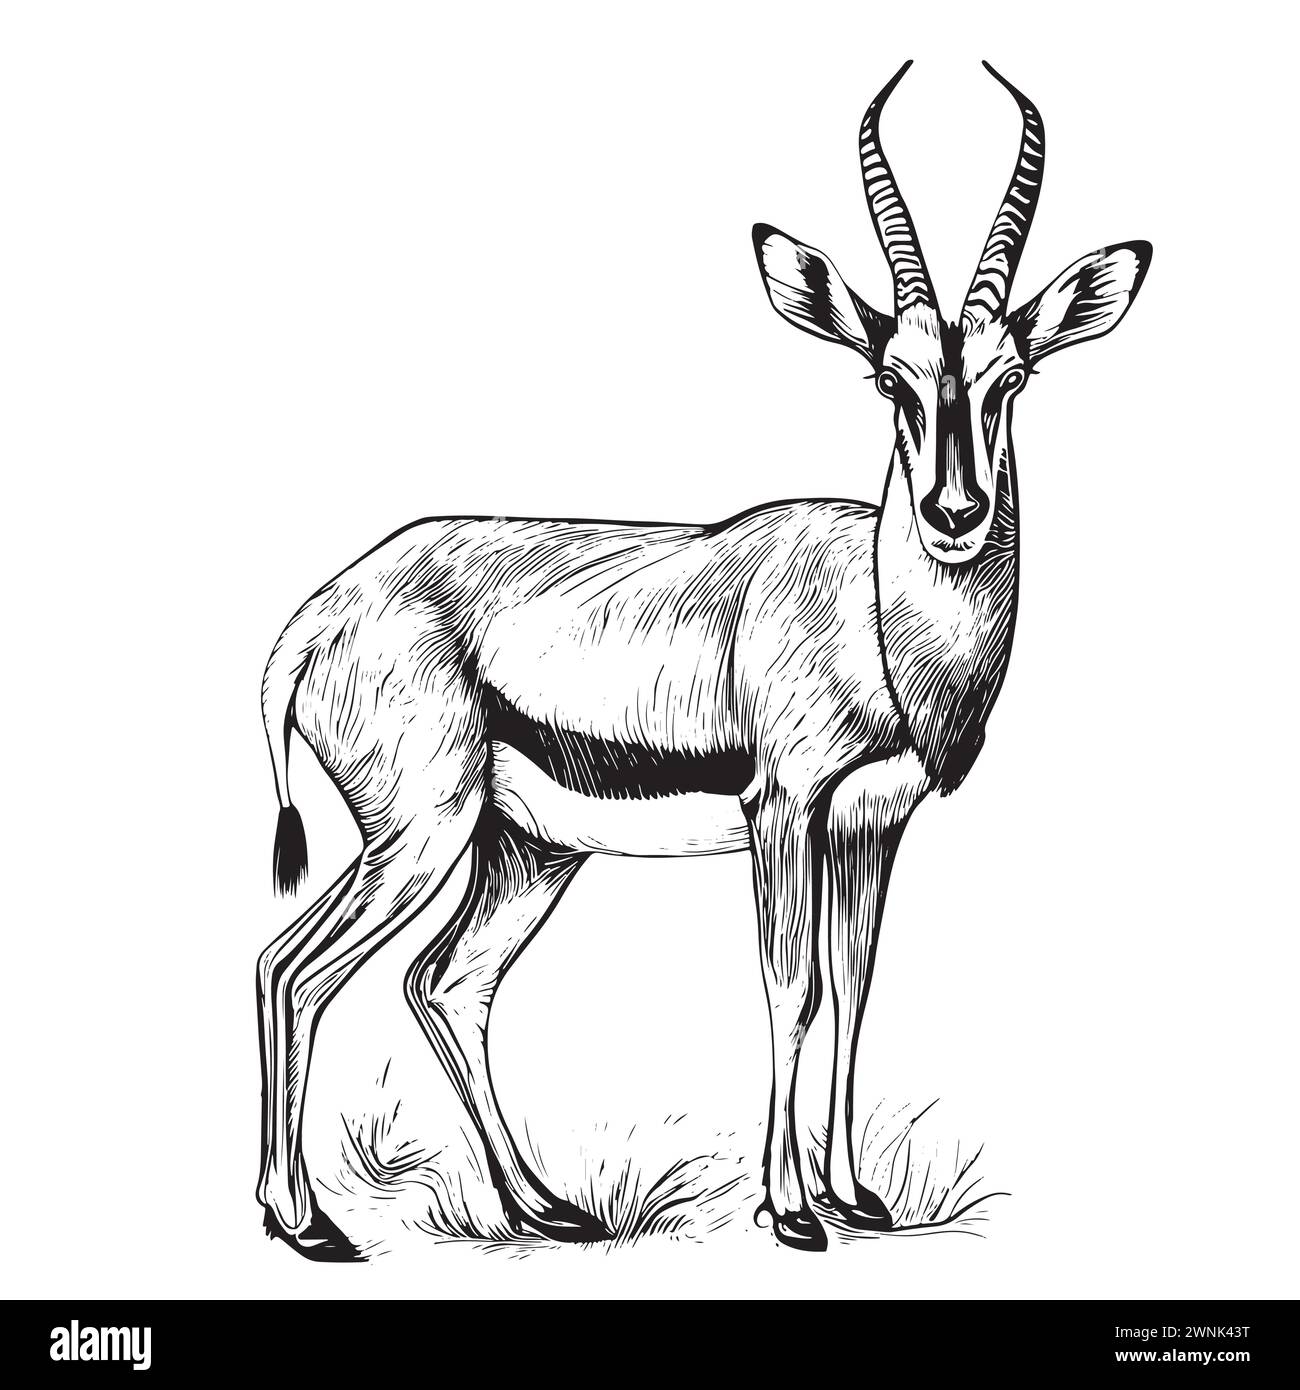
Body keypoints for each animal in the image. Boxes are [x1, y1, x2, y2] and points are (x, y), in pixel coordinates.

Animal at [255, 61, 1150, 1257]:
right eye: (890, 380)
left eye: (1013, 376)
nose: (955, 513)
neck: (877, 622)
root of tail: (319, 613)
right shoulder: (784, 809)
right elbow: (790, 989)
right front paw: (791, 1211)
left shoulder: (871, 824)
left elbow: (853, 987)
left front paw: (853, 1196)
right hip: (419, 832)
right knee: (294, 969)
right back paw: (308, 1225)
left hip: (526, 849)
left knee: (446, 983)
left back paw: (546, 1208)